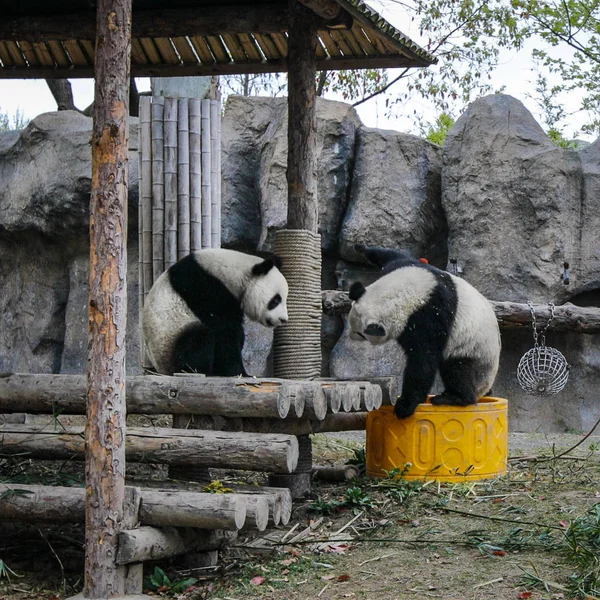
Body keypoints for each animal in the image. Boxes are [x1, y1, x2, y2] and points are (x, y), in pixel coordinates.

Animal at [143, 248, 288, 376]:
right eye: (276, 300)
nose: (283, 319)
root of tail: (162, 370)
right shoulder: (206, 290)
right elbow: (225, 332)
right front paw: (239, 372)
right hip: (168, 342)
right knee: (197, 338)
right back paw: (199, 371)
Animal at [346, 243, 502, 418]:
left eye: (360, 333)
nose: (350, 336)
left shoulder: (429, 318)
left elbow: (423, 360)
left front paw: (405, 406)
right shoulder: (409, 268)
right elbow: (392, 256)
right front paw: (360, 248)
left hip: (475, 350)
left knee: (458, 369)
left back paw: (453, 398)